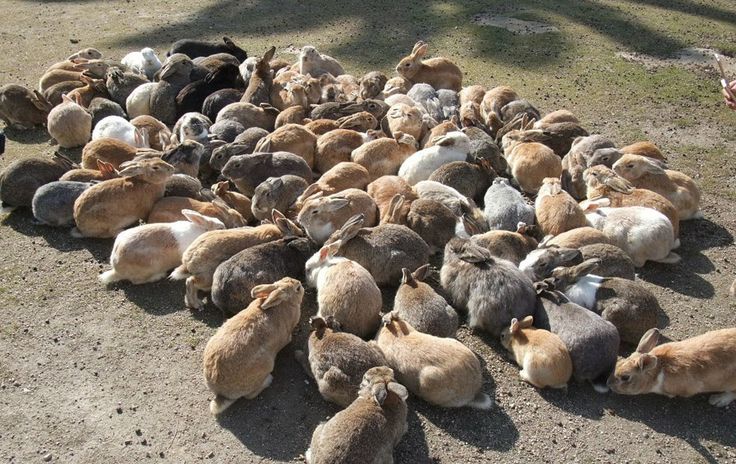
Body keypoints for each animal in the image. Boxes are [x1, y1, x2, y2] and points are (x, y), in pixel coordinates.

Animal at [204, 277, 303, 414]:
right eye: (297, 289)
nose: (300, 283)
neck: (284, 303)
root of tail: (221, 393)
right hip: (266, 365)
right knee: (249, 395)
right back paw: (268, 381)